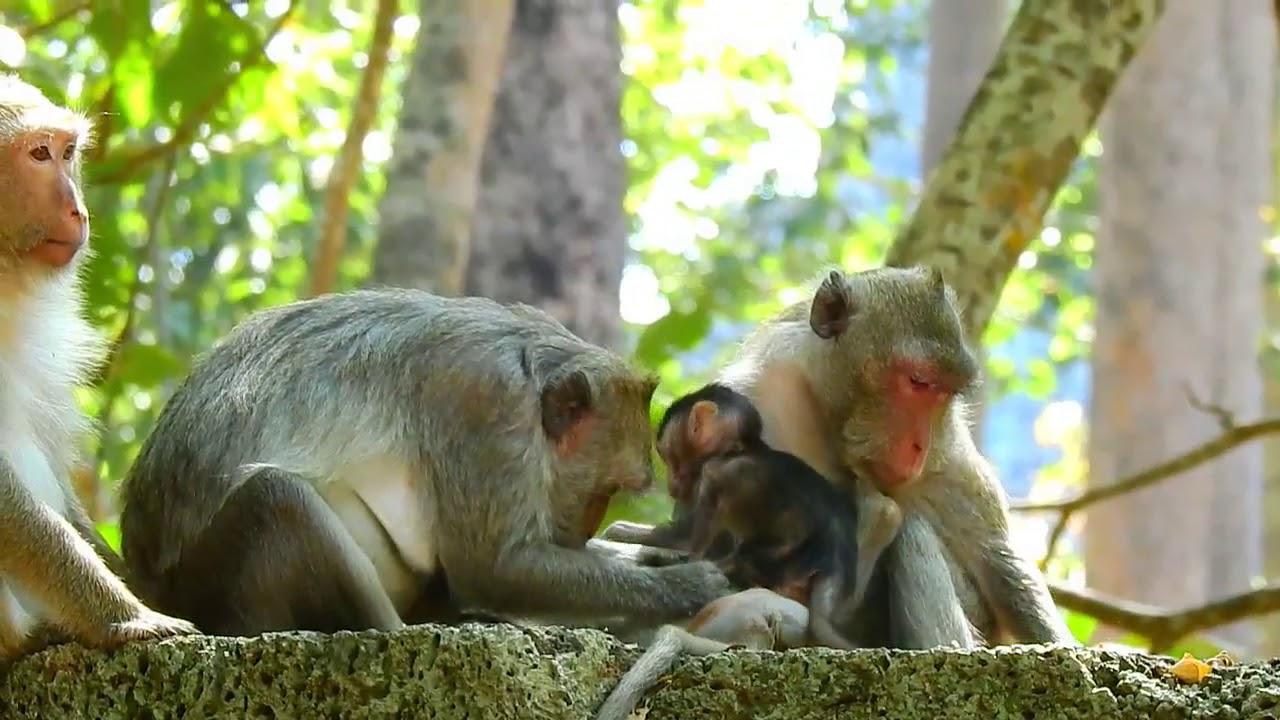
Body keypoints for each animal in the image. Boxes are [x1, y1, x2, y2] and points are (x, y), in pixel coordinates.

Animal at [117, 289, 734, 636]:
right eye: (602, 492)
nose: (581, 533)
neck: (530, 374)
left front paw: (648, 556)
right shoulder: (484, 409)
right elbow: (497, 568)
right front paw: (686, 584)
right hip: (211, 588)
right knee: (277, 497)